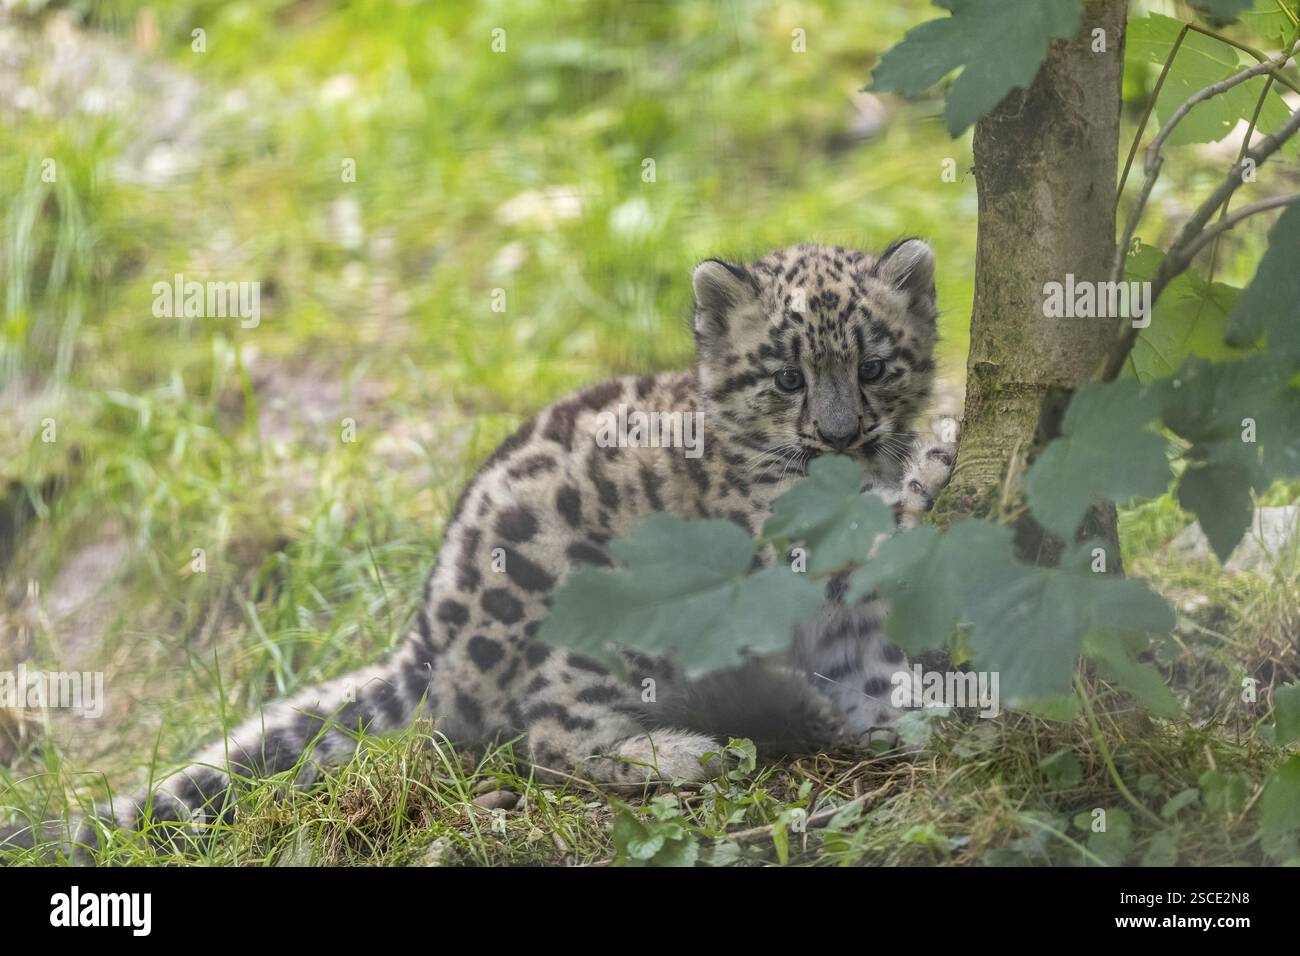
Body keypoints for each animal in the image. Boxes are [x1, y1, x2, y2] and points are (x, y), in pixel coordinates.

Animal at [1, 239, 959, 858]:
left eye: (875, 366)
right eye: (787, 376)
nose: (839, 437)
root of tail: (430, 641)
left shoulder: (855, 629)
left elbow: (883, 661)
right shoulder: (769, 548)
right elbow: (858, 533)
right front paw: (940, 453)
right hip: (588, 617)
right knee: (552, 730)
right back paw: (688, 749)